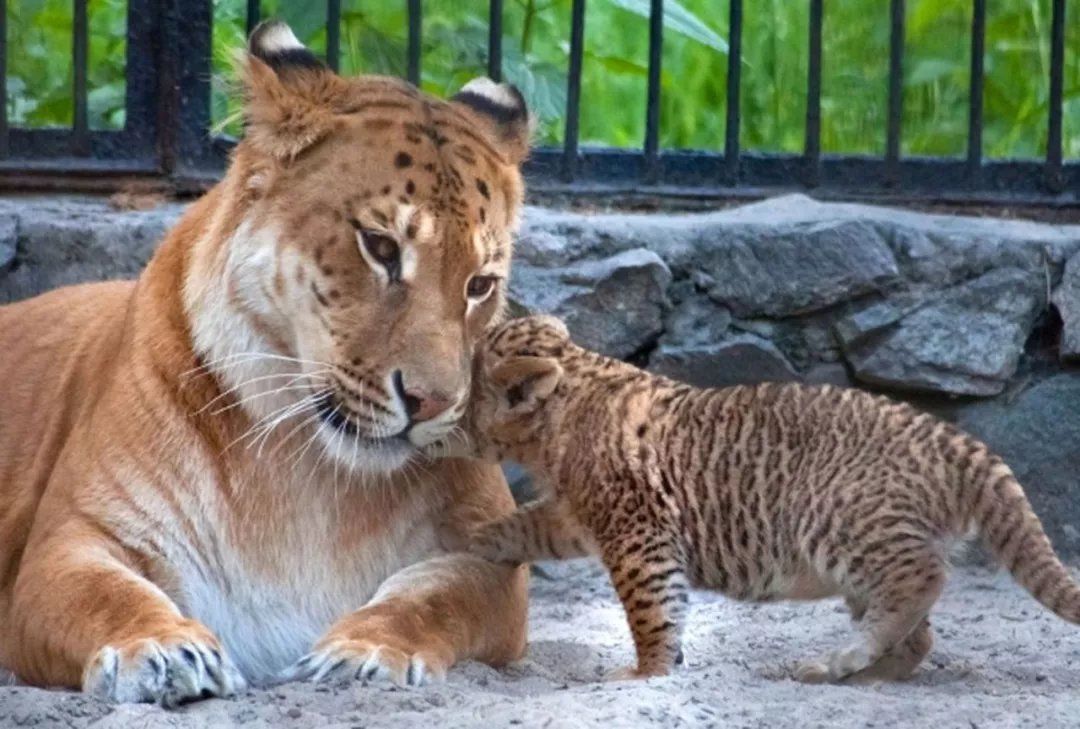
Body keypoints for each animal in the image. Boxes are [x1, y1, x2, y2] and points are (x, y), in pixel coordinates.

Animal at [0, 20, 533, 706]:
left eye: (480, 284)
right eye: (381, 247)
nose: (432, 403)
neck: (310, 470)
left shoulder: (493, 559)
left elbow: (434, 601)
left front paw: (363, 654)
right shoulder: (74, 541)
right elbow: (104, 596)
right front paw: (164, 651)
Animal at [432, 314, 1080, 683]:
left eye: (460, 394)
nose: (428, 413)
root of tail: (957, 441)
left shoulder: (639, 532)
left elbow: (652, 608)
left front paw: (645, 673)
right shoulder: (575, 516)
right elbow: (525, 526)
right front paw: (471, 539)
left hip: (840, 519)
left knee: (922, 581)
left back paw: (842, 661)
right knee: (919, 632)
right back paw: (868, 673)